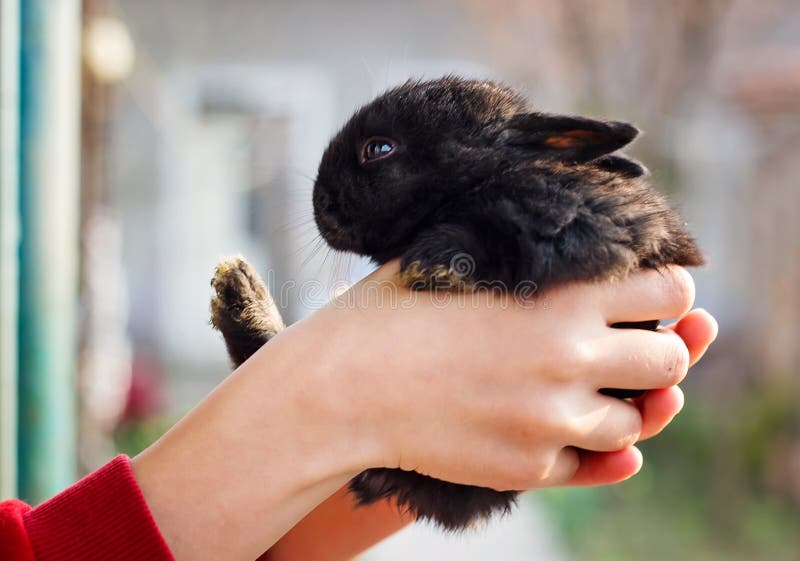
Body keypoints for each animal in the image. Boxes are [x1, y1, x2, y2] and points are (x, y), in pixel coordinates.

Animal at [210, 75, 704, 531]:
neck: (483, 180)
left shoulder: (572, 223)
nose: (321, 205)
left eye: (379, 148)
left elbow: (503, 240)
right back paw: (238, 292)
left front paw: (436, 262)